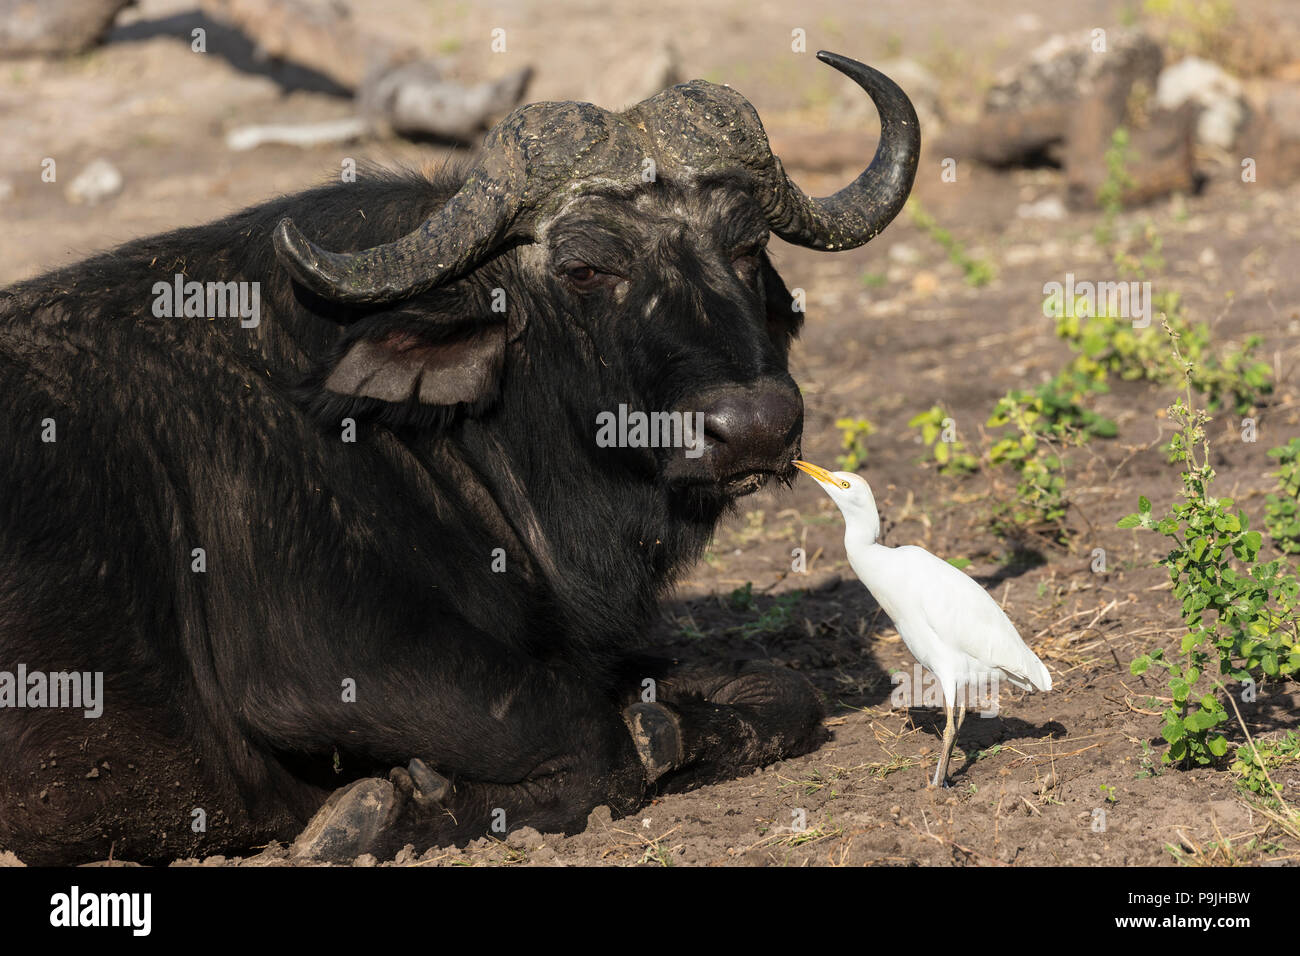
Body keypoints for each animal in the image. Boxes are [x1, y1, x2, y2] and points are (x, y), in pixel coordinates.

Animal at [0, 52, 918, 864]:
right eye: (585, 267)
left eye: (746, 246)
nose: (757, 426)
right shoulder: (321, 663)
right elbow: (594, 742)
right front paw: (375, 815)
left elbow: (781, 688)